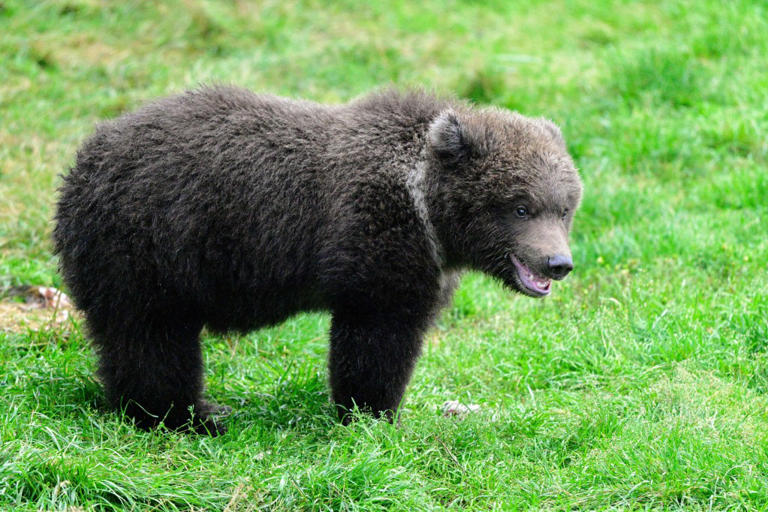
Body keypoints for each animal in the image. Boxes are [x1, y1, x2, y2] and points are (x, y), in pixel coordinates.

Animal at [53, 86, 582, 434]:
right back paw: (185, 416)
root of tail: (82, 166)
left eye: (564, 206)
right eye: (520, 206)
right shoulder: (375, 253)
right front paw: (374, 415)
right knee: (152, 340)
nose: (557, 263)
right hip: (151, 248)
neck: (429, 211)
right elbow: (374, 343)